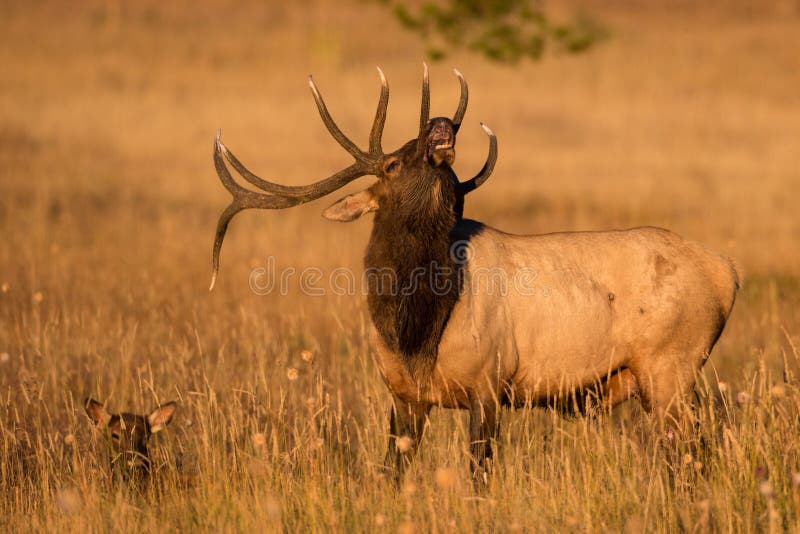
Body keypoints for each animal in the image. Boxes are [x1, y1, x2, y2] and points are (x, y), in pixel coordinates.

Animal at [207, 66, 739, 484]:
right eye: (393, 163)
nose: (439, 122)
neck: (416, 332)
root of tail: (727, 273)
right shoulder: (403, 396)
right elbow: (390, 474)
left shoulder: (490, 383)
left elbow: (478, 476)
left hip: (671, 366)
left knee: (694, 451)